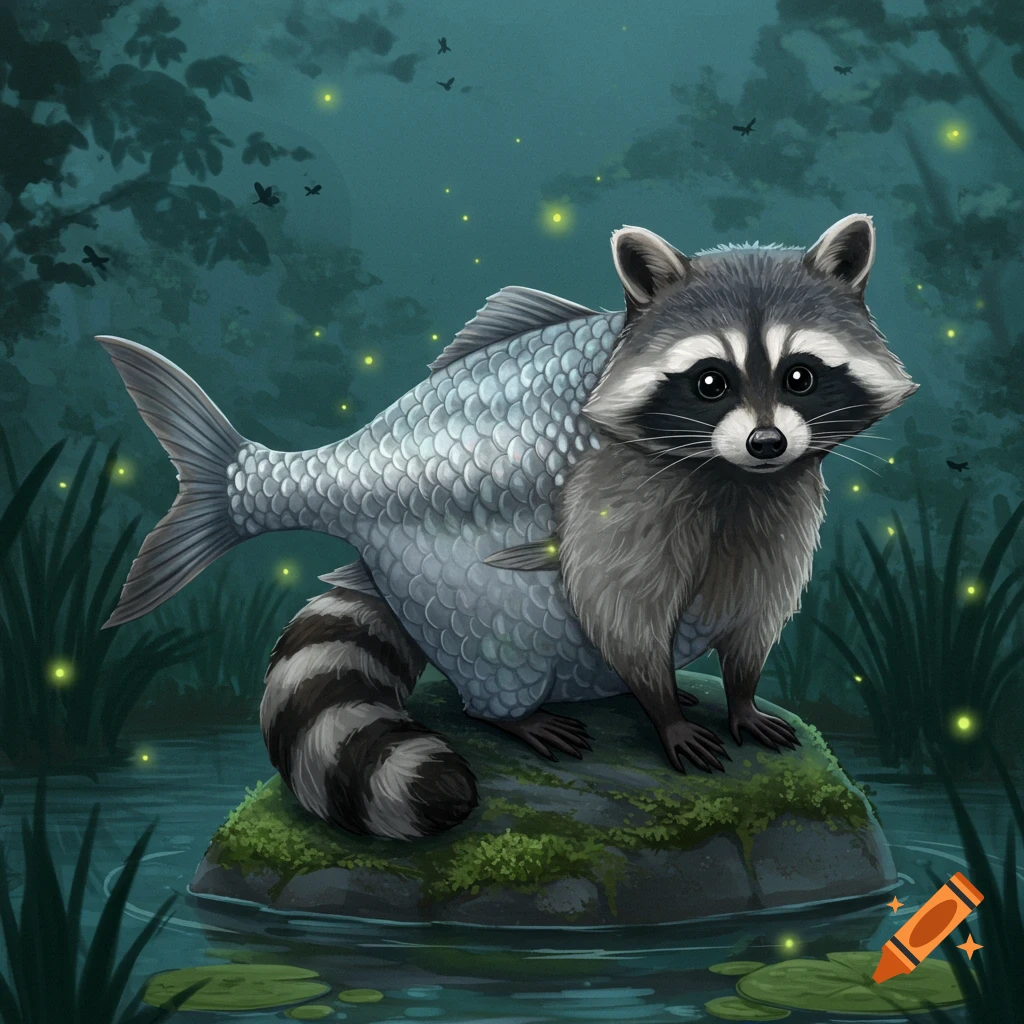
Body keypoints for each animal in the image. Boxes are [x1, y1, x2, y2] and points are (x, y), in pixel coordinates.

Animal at [98, 213, 916, 840]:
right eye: (709, 382)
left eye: (800, 375)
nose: (767, 442)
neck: (727, 473)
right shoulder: (610, 493)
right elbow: (621, 614)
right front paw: (662, 711)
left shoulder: (780, 503)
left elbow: (755, 610)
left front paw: (740, 695)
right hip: (454, 588)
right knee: (497, 652)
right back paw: (521, 715)